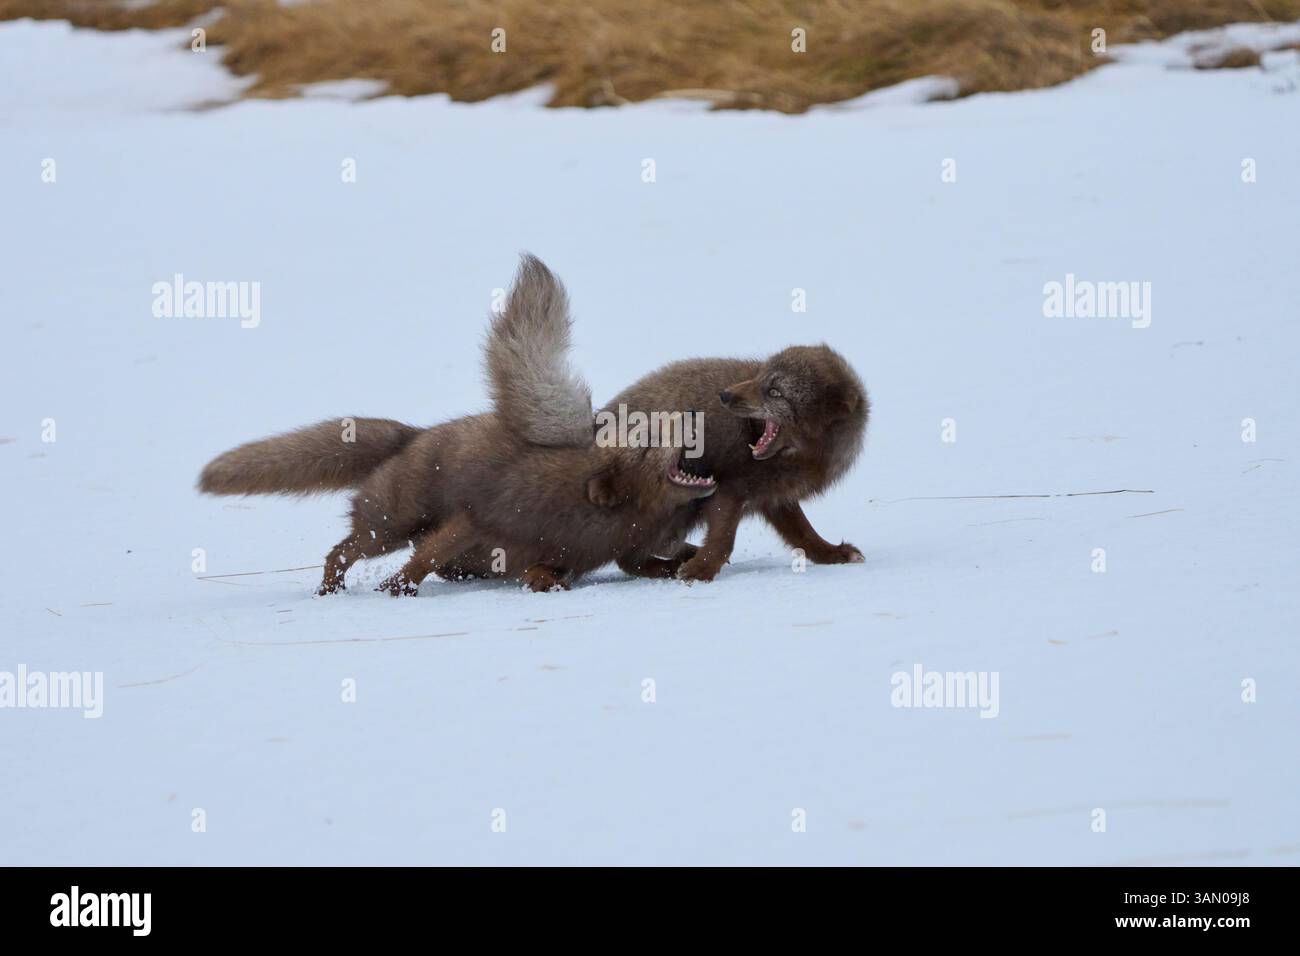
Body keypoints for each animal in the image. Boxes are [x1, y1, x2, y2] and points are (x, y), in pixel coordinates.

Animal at [197, 255, 715, 595]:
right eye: (647, 441)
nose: (691, 413)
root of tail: (412, 434)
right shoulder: (478, 516)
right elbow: (429, 556)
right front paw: (397, 589)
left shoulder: (613, 552)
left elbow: (625, 567)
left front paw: (691, 559)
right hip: (392, 524)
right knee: (344, 551)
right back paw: (332, 590)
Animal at [590, 346, 870, 582]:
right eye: (759, 376)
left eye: (775, 391)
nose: (724, 394)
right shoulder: (729, 489)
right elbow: (724, 539)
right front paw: (700, 570)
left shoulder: (775, 497)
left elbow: (804, 534)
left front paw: (832, 554)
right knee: (628, 557)